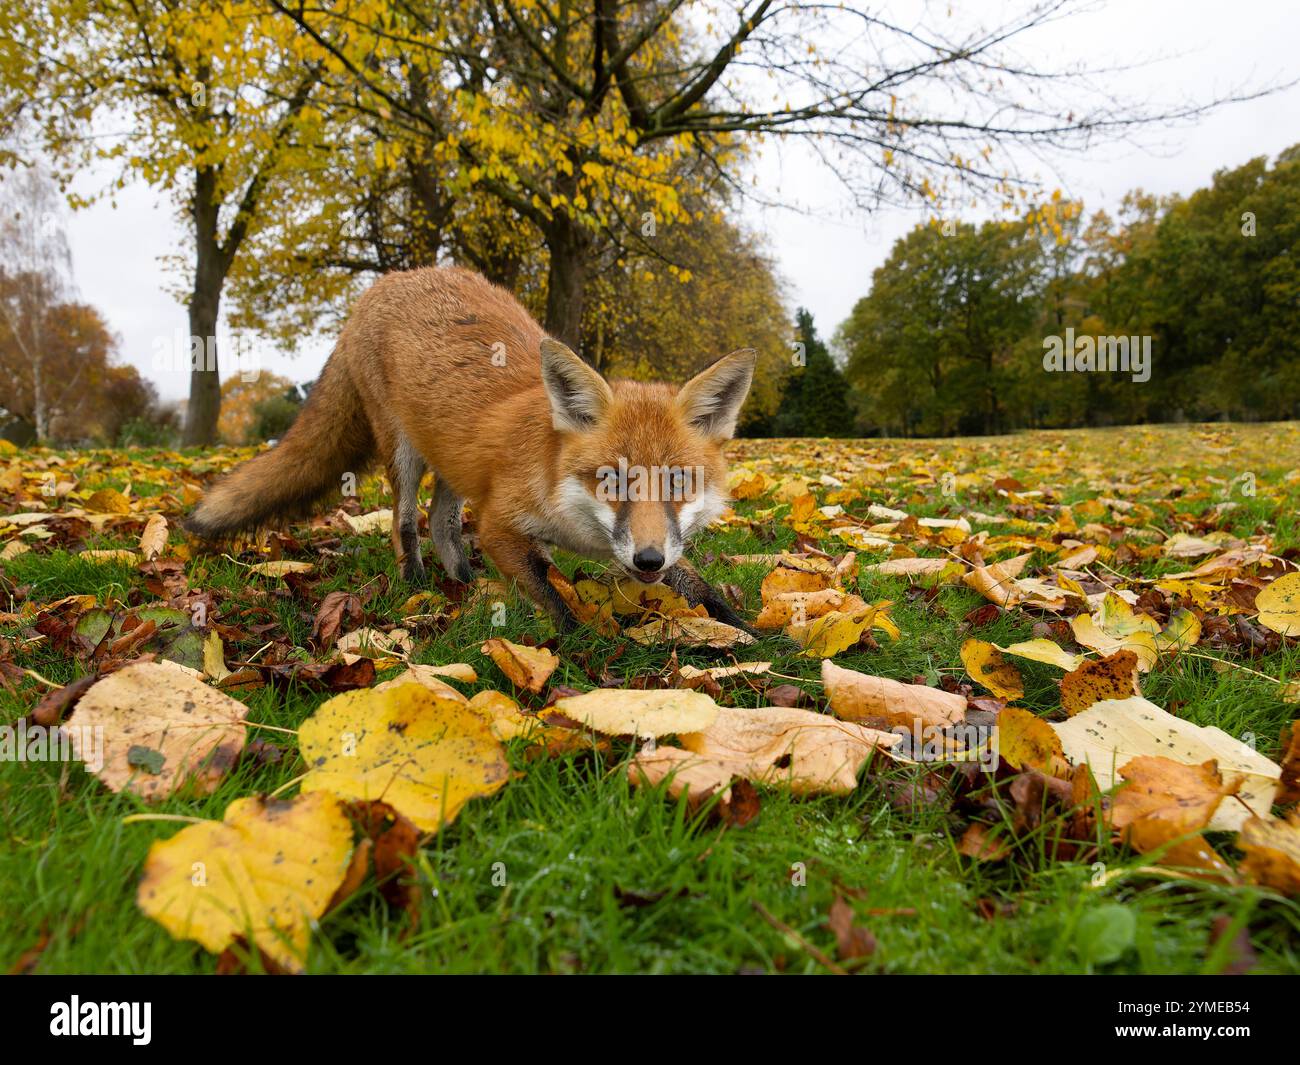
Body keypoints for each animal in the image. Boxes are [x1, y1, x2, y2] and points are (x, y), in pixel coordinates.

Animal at [185, 266, 757, 633]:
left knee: (440, 522)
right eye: (611, 480)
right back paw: (418, 585)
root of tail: (392, 279)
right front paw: (579, 648)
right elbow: (552, 596)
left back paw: (464, 581)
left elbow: (701, 589)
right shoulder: (498, 523)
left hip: (455, 464)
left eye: (678, 482)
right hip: (404, 454)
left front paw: (755, 635)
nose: (647, 558)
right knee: (406, 524)